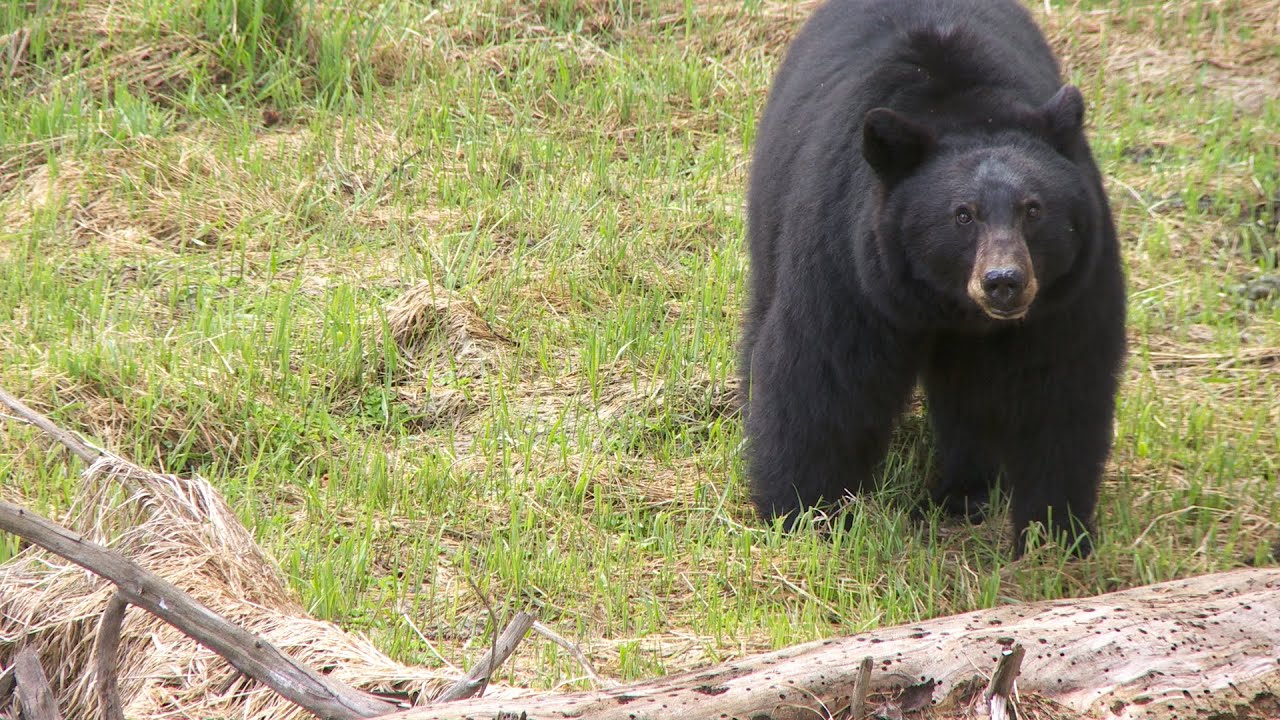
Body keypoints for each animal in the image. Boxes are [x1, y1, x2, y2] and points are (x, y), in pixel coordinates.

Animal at [740, 0, 1126, 557]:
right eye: (962, 215)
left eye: (1034, 209)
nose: (1004, 281)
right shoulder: (850, 264)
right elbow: (822, 371)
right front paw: (803, 514)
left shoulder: (1068, 287)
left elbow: (1061, 385)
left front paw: (1055, 534)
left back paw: (964, 492)